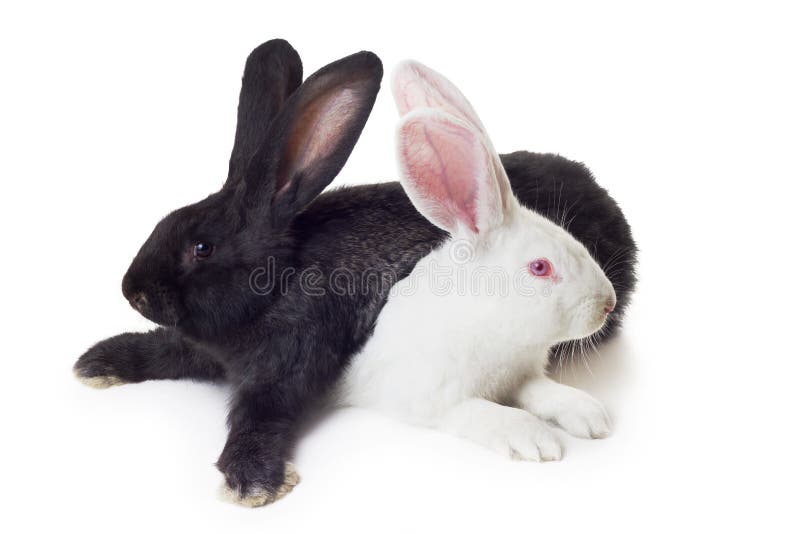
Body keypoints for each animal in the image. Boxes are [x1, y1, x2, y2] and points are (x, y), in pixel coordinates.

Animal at [339, 65, 620, 461]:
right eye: (540, 267)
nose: (608, 303)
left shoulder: (521, 376)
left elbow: (541, 391)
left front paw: (588, 414)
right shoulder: (433, 398)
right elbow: (479, 411)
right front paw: (534, 439)